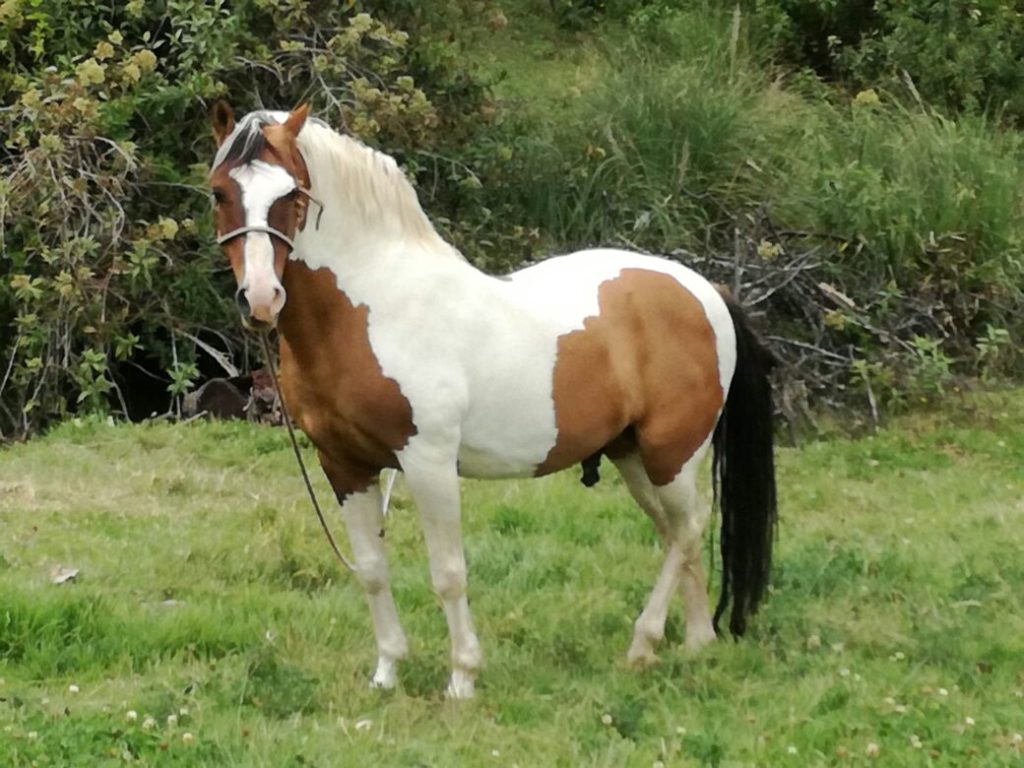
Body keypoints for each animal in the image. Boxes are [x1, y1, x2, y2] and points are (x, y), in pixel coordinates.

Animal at [207, 103, 777, 699]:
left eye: (291, 194)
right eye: (219, 192)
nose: (261, 299)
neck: (373, 308)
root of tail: (707, 292)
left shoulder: (429, 462)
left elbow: (448, 574)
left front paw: (462, 678)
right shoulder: (344, 464)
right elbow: (372, 569)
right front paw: (387, 672)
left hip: (673, 454)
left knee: (687, 529)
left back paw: (643, 645)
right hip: (634, 456)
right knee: (677, 534)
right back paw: (695, 643)